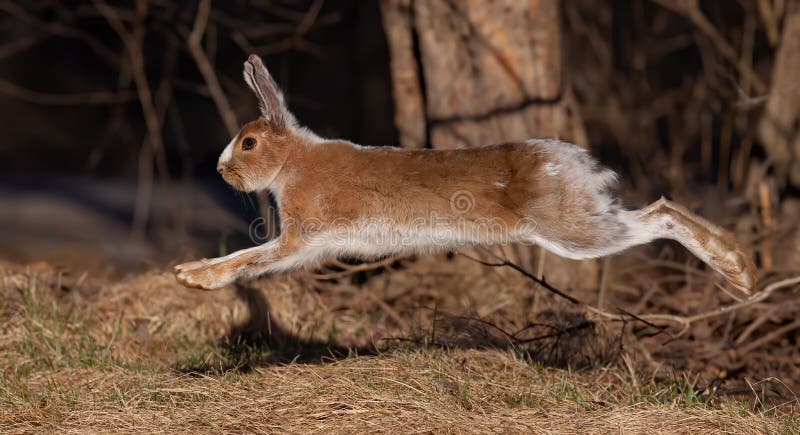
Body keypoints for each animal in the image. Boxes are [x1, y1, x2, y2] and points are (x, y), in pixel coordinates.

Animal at [174, 54, 757, 294]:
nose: (222, 170)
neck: (294, 160)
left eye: (249, 143)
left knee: (660, 214)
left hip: (572, 231)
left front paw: (194, 277)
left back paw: (739, 271)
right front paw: (191, 274)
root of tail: (579, 163)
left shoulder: (300, 238)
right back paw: (743, 270)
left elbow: (247, 258)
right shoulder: (307, 246)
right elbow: (250, 259)